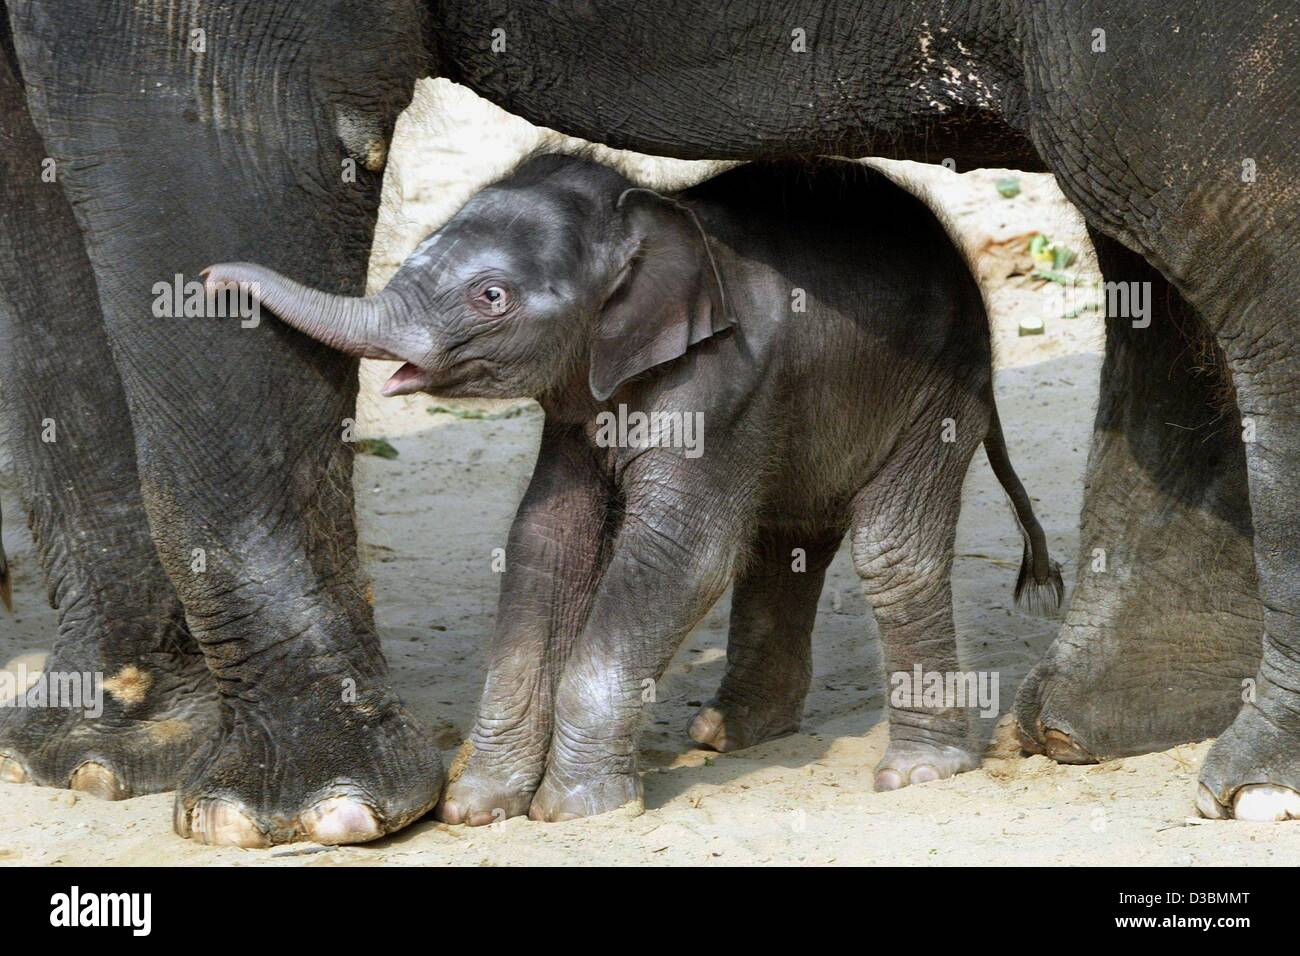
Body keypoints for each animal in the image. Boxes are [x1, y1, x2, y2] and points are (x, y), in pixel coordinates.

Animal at [204, 153, 1064, 821]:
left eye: (491, 296)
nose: (210, 279)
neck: (651, 217)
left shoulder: (719, 384)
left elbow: (681, 555)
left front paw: (573, 809)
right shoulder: (581, 403)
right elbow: (547, 542)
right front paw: (477, 807)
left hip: (935, 393)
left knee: (890, 552)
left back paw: (914, 774)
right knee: (784, 543)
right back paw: (728, 734)